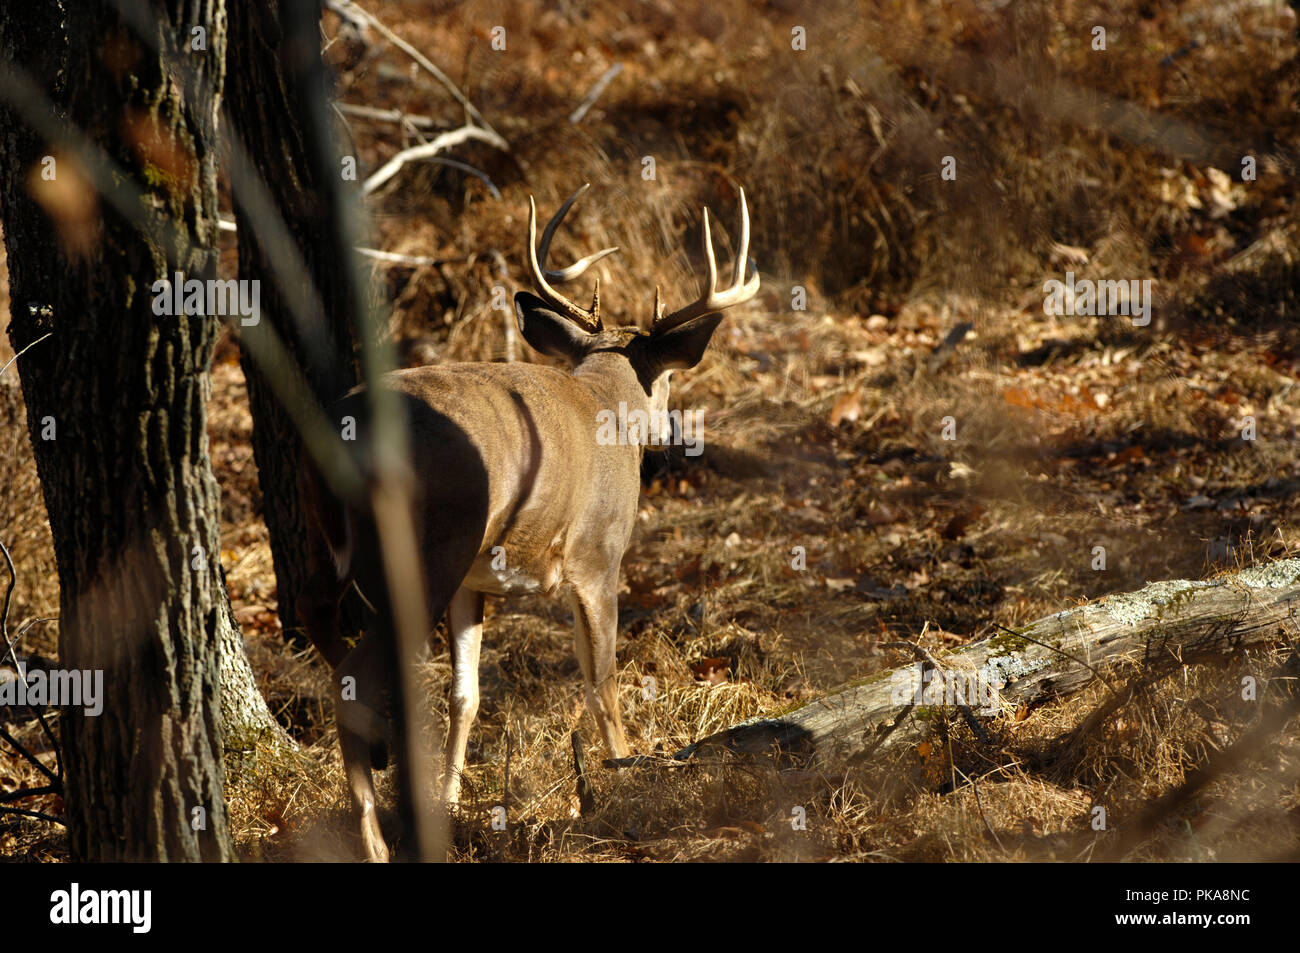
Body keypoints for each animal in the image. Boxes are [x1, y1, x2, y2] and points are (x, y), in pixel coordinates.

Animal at [296, 184, 760, 861]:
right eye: (670, 378)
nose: (670, 433)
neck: (602, 402)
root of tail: (342, 431)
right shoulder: (598, 558)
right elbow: (603, 681)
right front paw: (627, 778)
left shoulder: (475, 581)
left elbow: (466, 694)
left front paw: (452, 803)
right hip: (425, 551)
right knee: (354, 673)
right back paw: (375, 841)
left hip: (338, 543)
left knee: (320, 623)